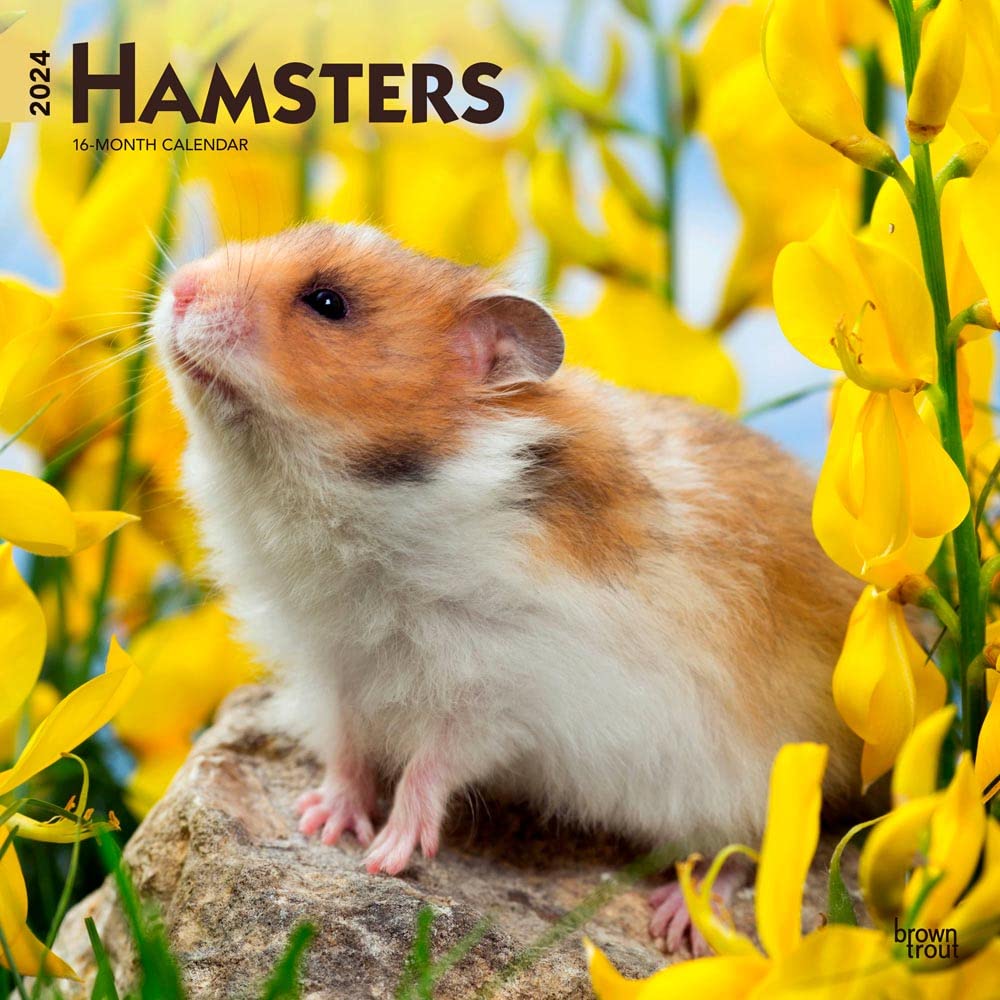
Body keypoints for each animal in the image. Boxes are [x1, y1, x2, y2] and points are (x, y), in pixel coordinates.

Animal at [153, 222, 862, 948]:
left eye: (328, 303)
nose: (179, 290)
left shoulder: (496, 689)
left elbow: (430, 767)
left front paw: (387, 857)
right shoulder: (332, 663)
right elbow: (347, 747)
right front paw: (321, 822)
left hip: (747, 770)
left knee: (747, 850)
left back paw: (680, 921)